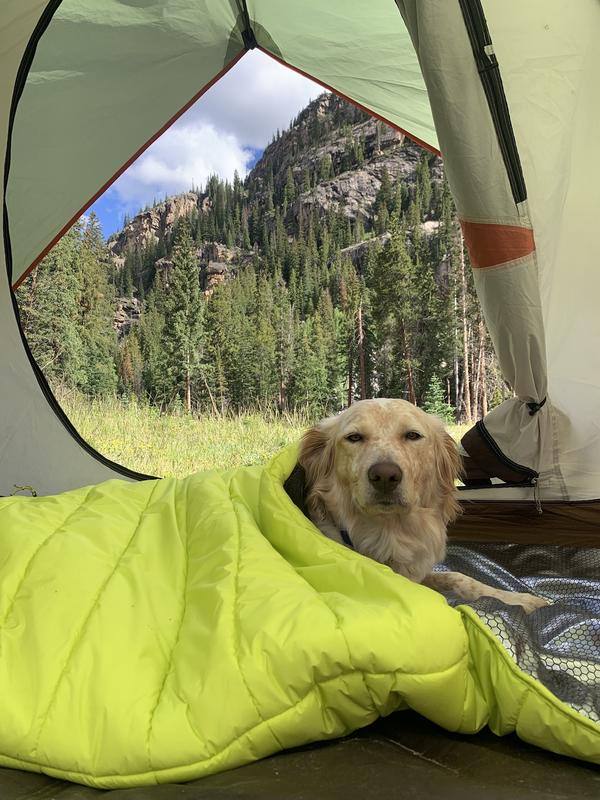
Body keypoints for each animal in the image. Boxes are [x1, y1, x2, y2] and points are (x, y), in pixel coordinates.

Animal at [298, 398, 552, 612]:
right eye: (354, 438)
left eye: (412, 435)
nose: (385, 476)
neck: (391, 533)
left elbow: (462, 577)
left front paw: (523, 599)